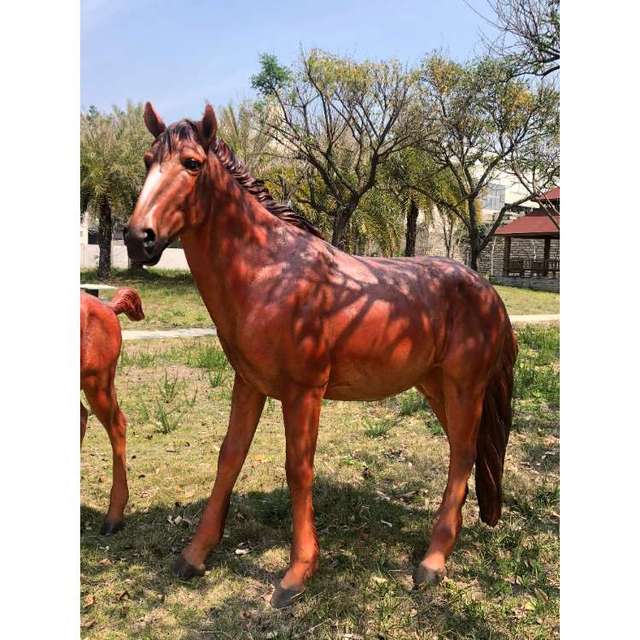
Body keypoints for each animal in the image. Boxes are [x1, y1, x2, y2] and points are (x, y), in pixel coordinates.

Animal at [124, 103, 517, 608]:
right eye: (148, 161)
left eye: (192, 163)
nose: (139, 238)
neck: (271, 272)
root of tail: (488, 293)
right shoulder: (248, 384)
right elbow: (229, 458)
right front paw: (194, 555)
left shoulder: (303, 392)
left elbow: (299, 469)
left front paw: (298, 572)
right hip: (436, 387)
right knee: (462, 453)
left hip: (464, 388)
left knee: (463, 455)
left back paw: (433, 561)